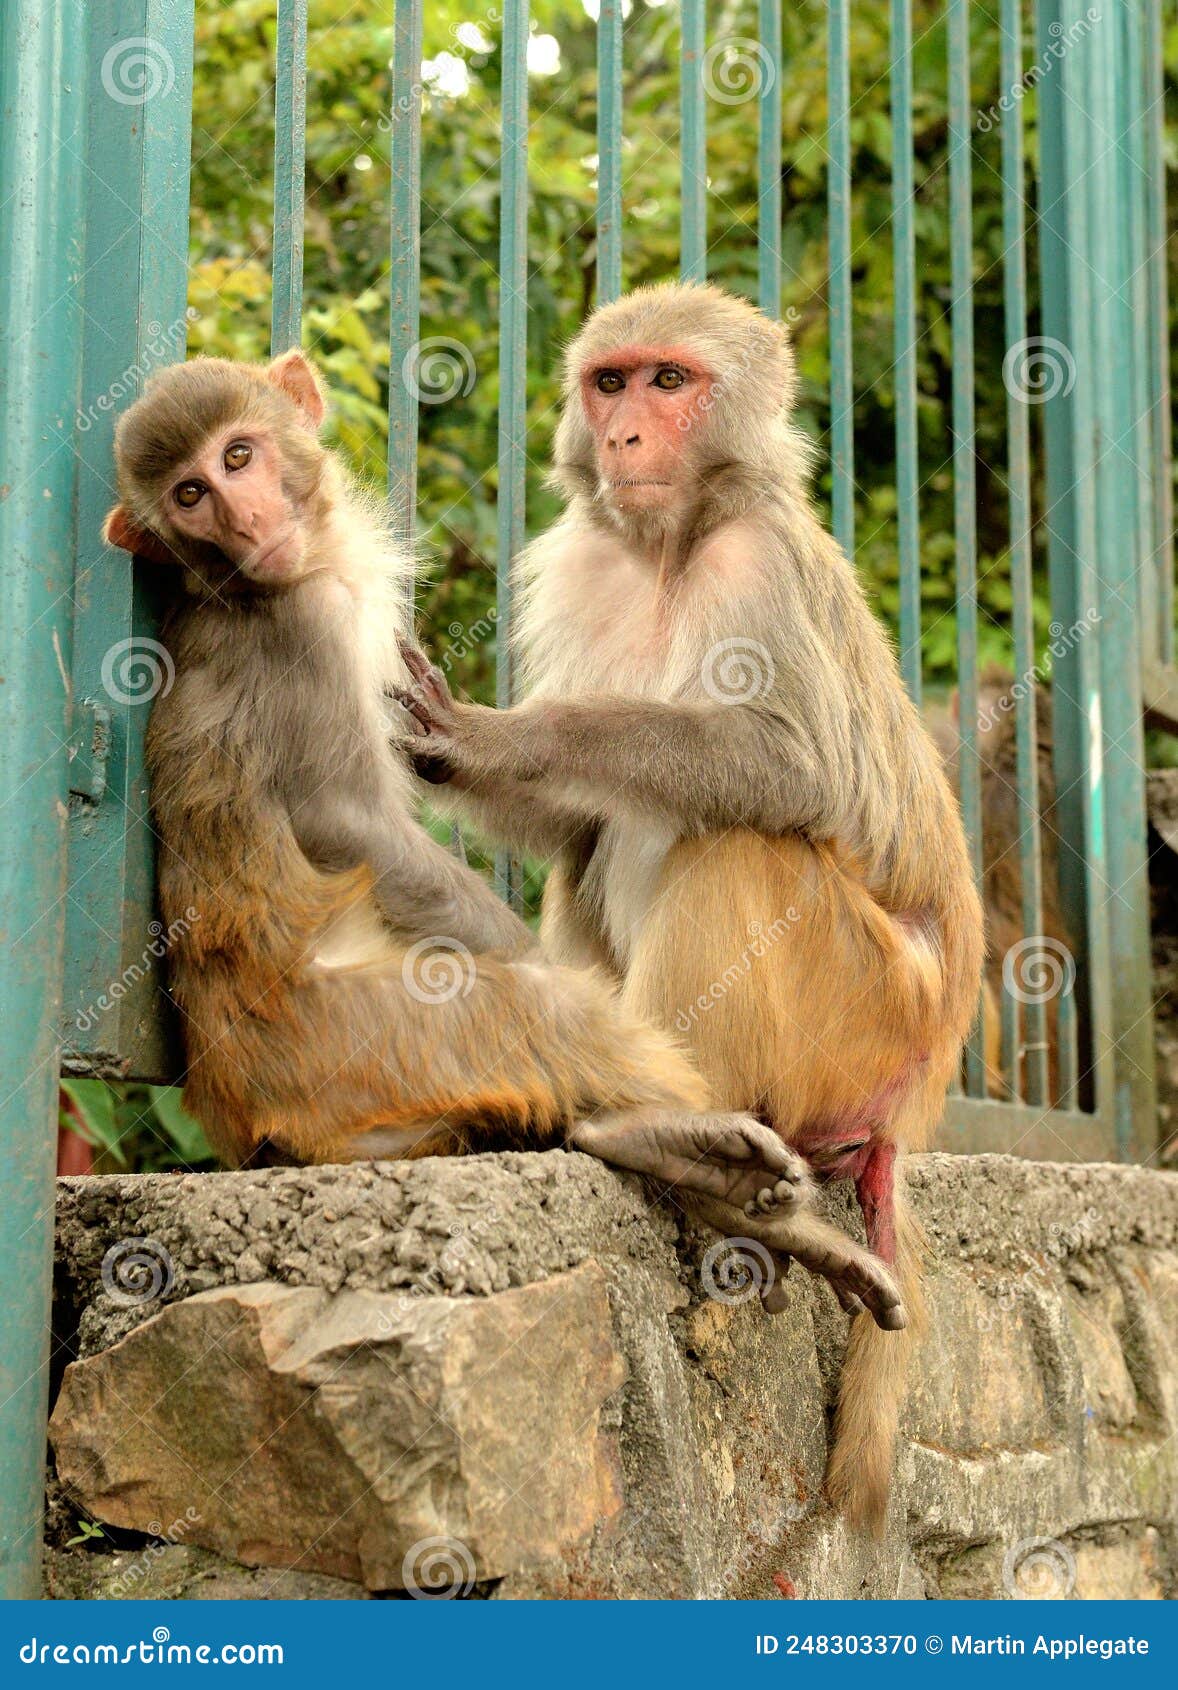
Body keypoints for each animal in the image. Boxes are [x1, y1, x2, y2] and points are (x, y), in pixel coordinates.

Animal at [99, 346, 910, 1332]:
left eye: (237, 458)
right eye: (189, 496)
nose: (246, 520)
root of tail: (258, 1123)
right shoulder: (303, 627)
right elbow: (344, 819)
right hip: (371, 1038)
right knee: (536, 1012)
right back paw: (655, 1134)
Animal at [394, 283, 985, 1531]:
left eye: (671, 382)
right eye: (610, 381)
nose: (623, 436)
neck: (667, 548)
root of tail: (916, 1093)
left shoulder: (752, 564)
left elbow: (786, 768)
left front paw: (505, 735)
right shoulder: (587, 563)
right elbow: (566, 830)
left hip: (866, 1010)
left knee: (731, 840)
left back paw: (667, 1129)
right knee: (599, 847)